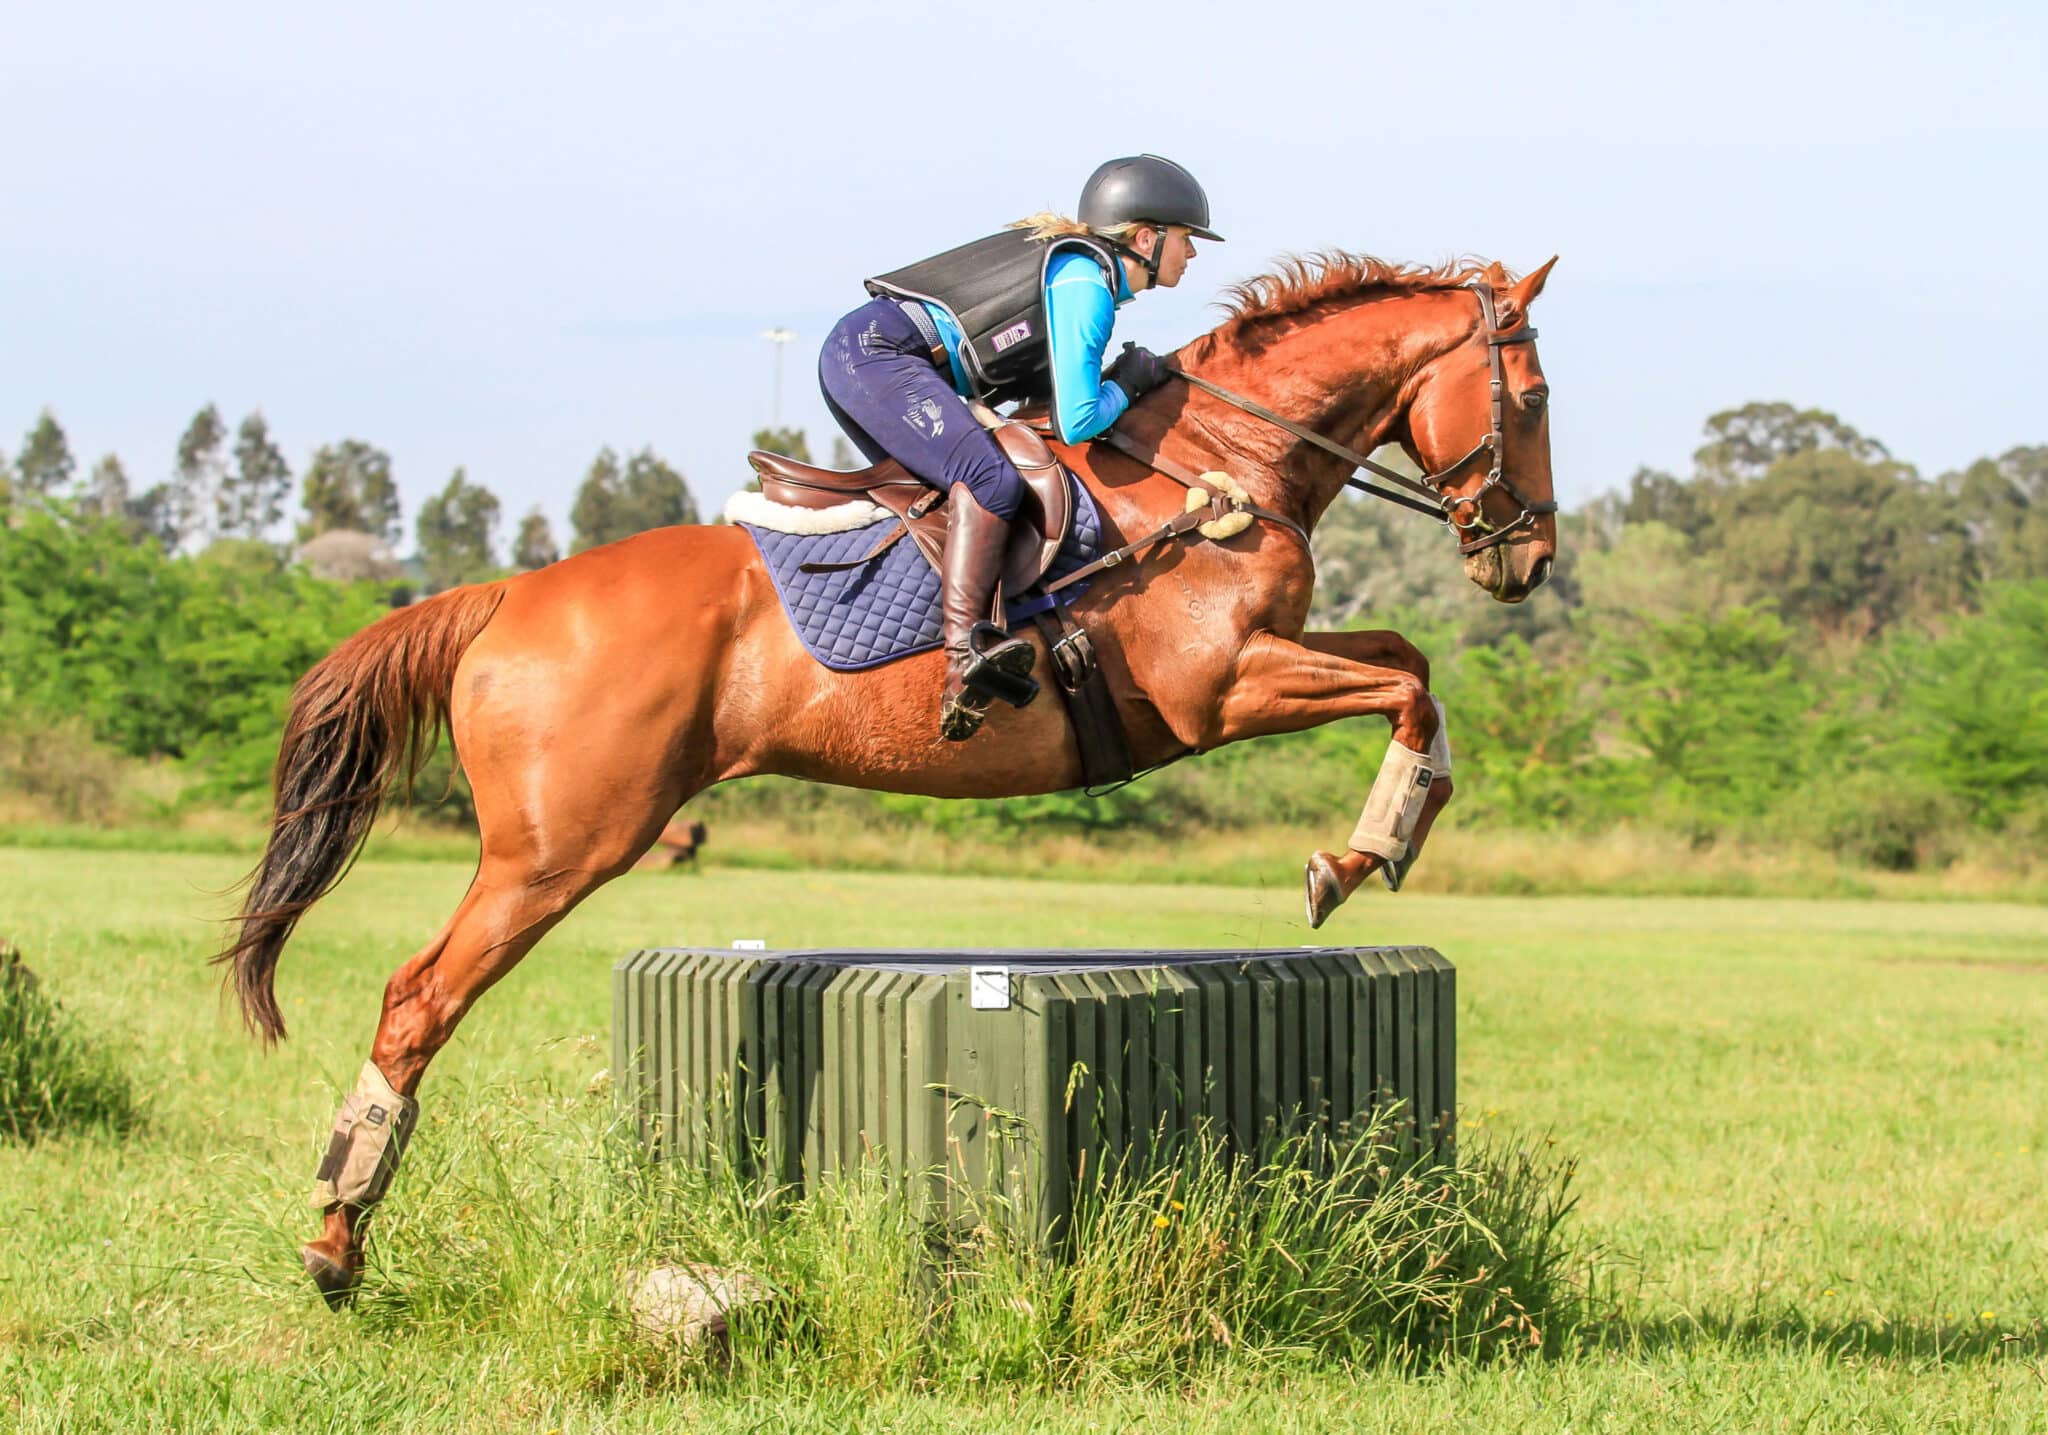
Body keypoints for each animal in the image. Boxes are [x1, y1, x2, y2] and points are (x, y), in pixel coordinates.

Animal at [218, 251, 1558, 1302]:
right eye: (1536, 396)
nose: (1528, 559)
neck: (1217, 463)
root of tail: (504, 595)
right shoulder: (1216, 690)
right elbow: (1406, 688)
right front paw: (1355, 857)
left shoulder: (1263, 664)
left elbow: (1409, 666)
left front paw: (1379, 838)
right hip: (558, 849)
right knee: (417, 1000)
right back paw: (336, 1241)